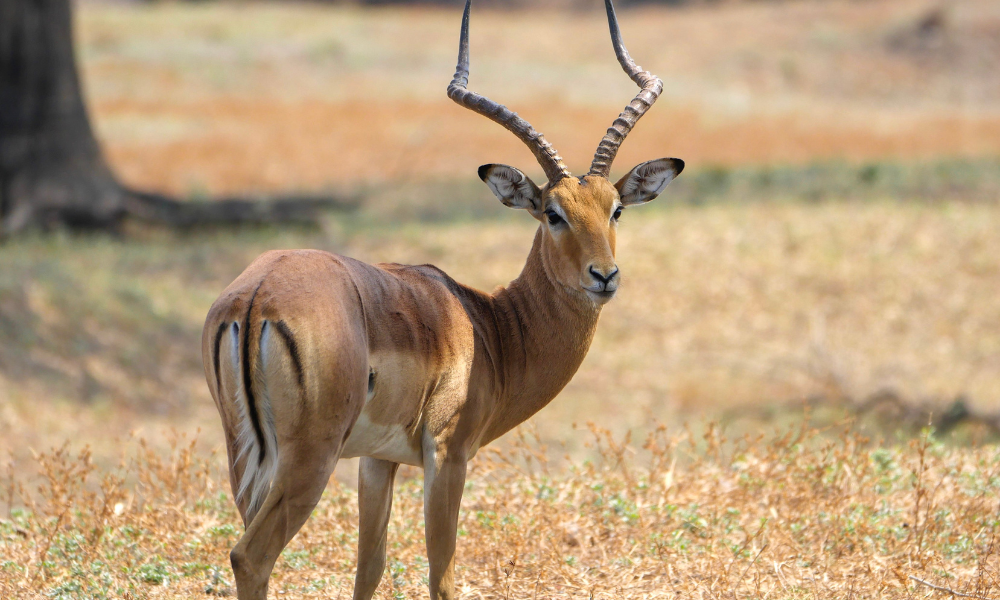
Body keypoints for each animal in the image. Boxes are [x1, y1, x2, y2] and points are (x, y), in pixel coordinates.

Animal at [201, 0, 682, 598]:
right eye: (553, 213)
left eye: (615, 208)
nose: (605, 275)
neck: (488, 327)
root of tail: (257, 294)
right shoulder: (447, 454)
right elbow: (443, 576)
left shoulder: (376, 462)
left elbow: (369, 569)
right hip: (309, 459)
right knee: (250, 556)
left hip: (246, 457)